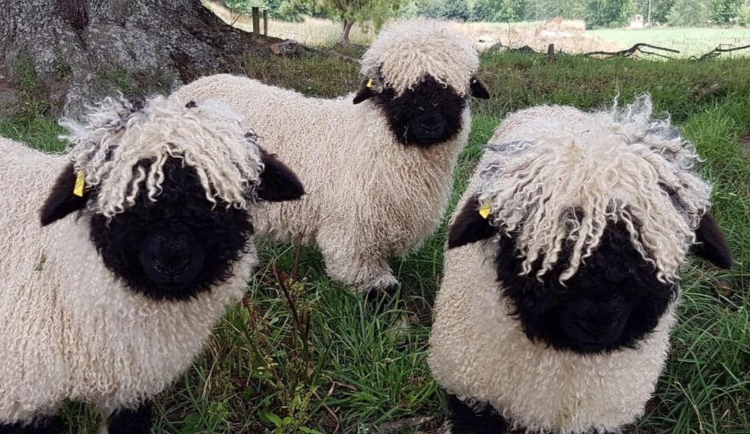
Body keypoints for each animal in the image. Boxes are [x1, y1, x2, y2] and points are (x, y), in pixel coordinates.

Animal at [172, 19, 490, 295]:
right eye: (389, 89)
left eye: (460, 90)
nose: (429, 124)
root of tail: (191, 87)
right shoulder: (352, 229)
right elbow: (366, 279)